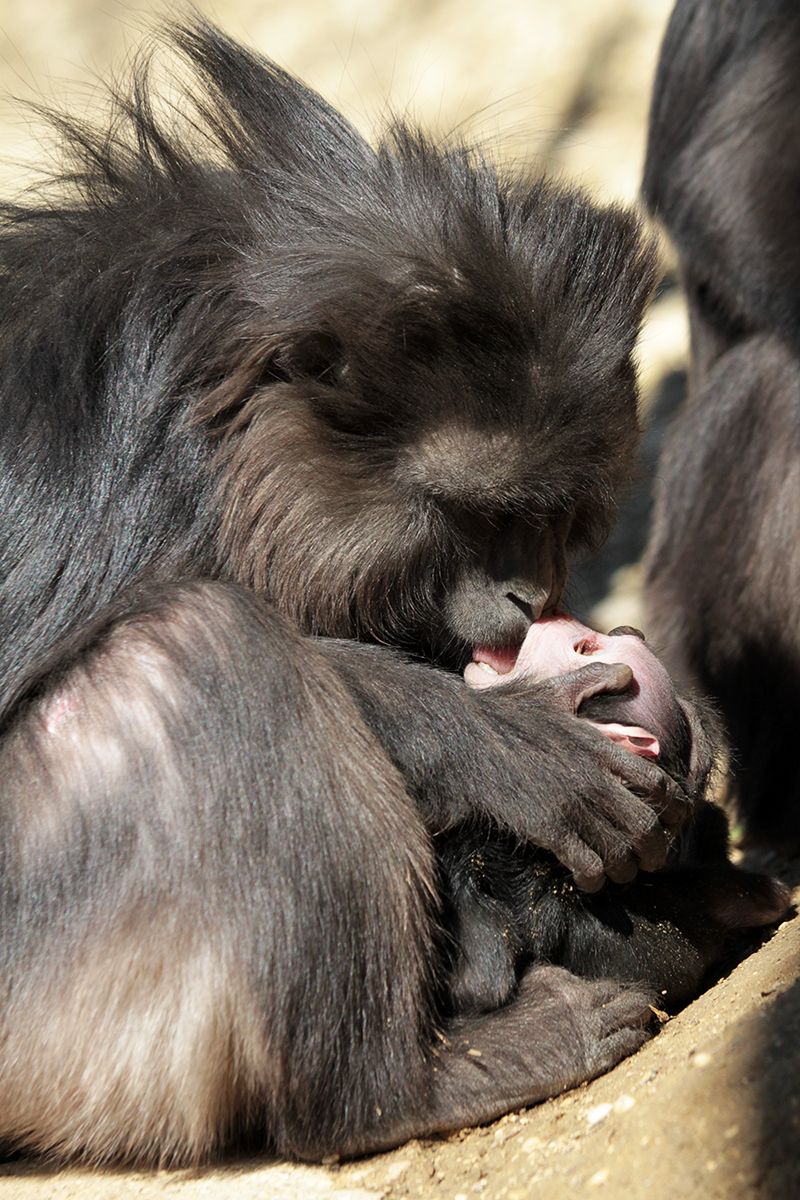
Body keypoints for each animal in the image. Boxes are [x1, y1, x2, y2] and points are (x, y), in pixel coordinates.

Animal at [0, 20, 687, 1164]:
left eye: (557, 518)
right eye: (476, 512)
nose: (529, 596)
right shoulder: (116, 481)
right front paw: (493, 739)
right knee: (204, 650)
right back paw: (392, 1090)